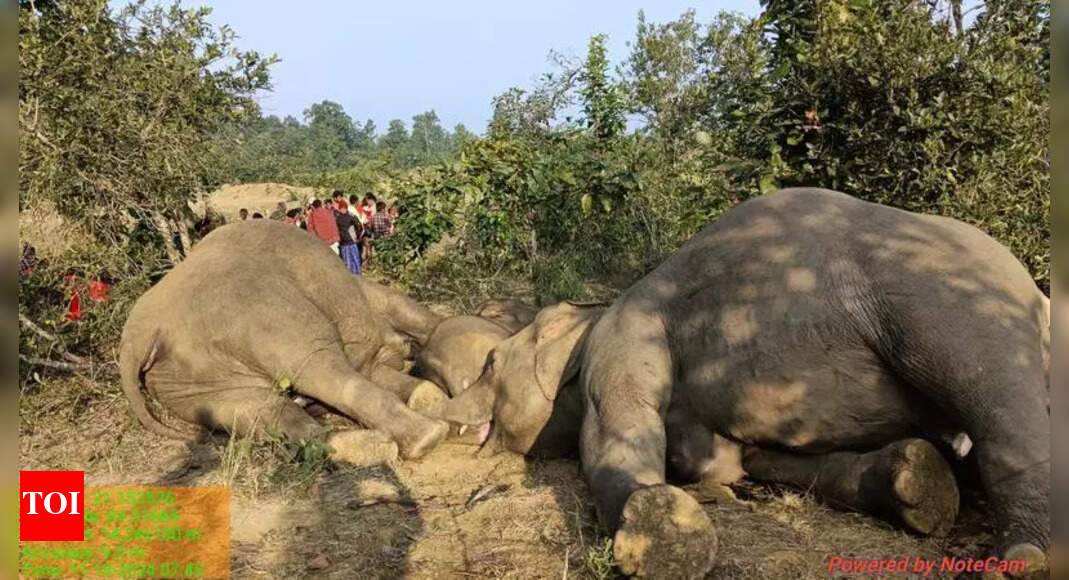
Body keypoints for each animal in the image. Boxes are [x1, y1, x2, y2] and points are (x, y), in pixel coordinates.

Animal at [119, 220, 450, 462]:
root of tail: (139, 335)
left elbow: (379, 368)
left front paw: (425, 394)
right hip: (261, 314)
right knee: (317, 367)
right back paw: (425, 438)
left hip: (182, 379)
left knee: (255, 409)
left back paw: (368, 448)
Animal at [435, 188, 1050, 577]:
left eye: (490, 363)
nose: (444, 416)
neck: (594, 315)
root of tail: (1038, 296)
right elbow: (742, 461)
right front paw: (917, 484)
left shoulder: (623, 334)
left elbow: (616, 425)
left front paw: (662, 533)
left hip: (948, 304)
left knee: (1002, 404)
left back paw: (1026, 560)